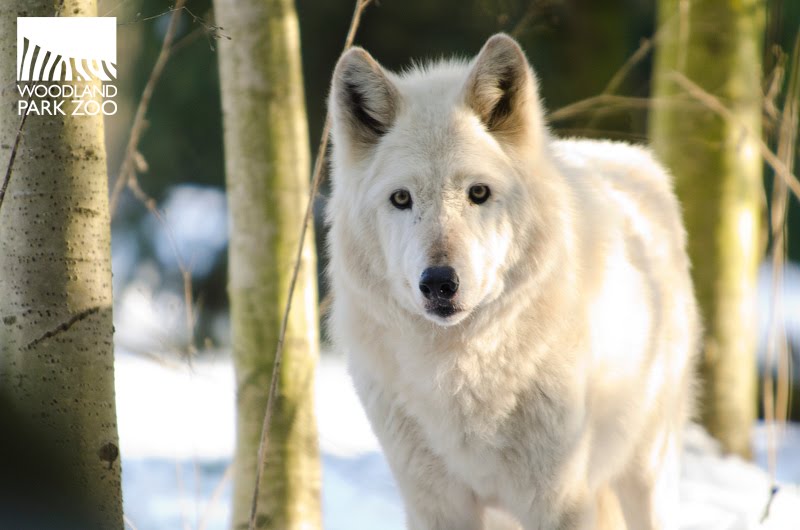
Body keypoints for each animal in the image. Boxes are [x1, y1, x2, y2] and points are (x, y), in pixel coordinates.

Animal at [325, 33, 699, 530]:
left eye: (478, 193)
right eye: (401, 199)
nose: (439, 283)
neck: (459, 370)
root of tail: (631, 158)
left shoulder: (558, 501)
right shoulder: (437, 507)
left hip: (646, 477)